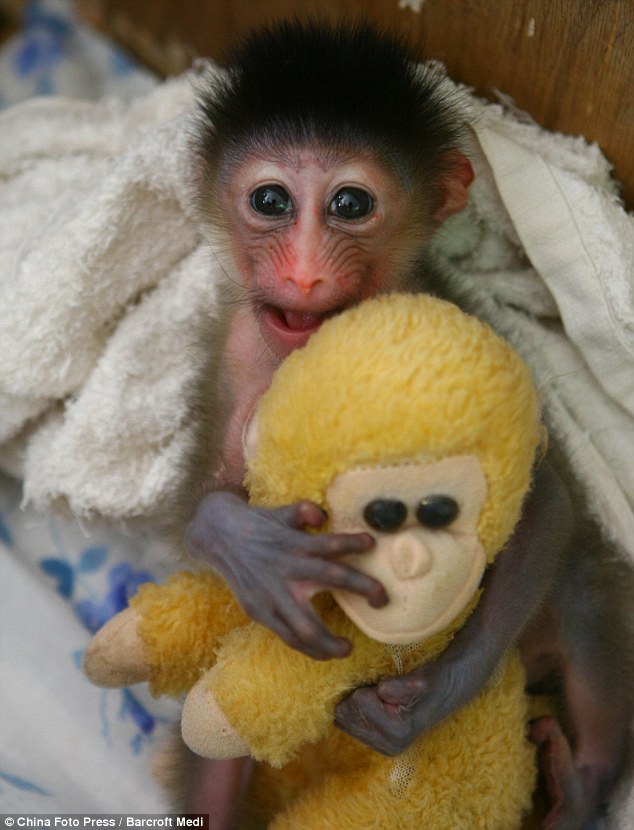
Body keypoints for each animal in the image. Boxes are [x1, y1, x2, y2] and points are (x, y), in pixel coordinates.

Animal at [173, 20, 633, 829]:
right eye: (271, 199)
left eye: (352, 204)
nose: (302, 273)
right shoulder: (229, 358)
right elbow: (192, 516)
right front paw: (247, 545)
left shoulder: (465, 332)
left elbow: (545, 501)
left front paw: (424, 705)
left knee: (579, 582)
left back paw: (582, 788)